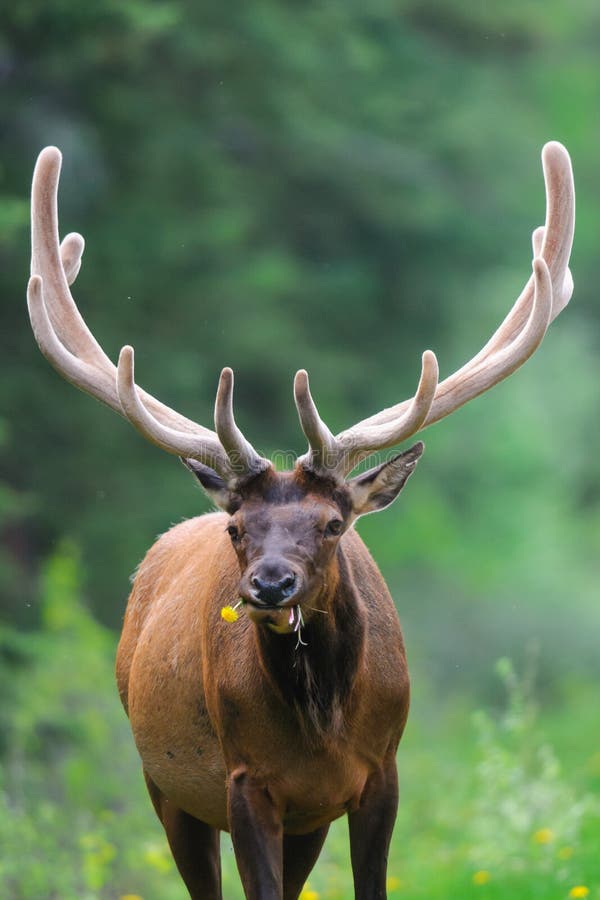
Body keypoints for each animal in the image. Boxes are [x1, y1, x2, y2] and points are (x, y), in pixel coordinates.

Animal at [27, 142, 574, 900]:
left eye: (333, 524)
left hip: (301, 822)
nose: (270, 586)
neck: (324, 729)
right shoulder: (245, 782)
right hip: (166, 787)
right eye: (236, 529)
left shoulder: (378, 777)